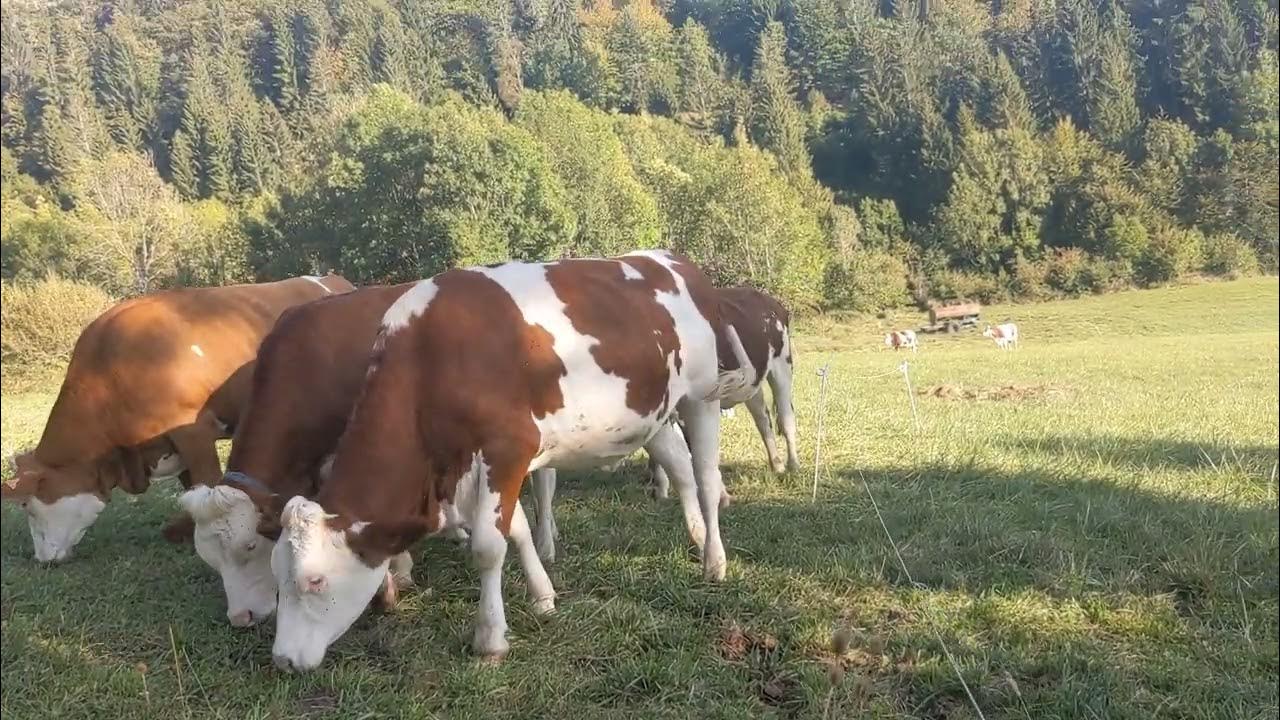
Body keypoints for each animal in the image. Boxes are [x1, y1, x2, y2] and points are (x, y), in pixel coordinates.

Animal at [265, 251, 749, 671]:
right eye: (276, 575)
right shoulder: (486, 466)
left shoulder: (507, 449)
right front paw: (543, 596)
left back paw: (714, 561)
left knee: (707, 478)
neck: (433, 356)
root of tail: (670, 259)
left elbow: (487, 546)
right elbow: (516, 530)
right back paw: (696, 536)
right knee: (681, 468)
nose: (282, 660)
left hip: (702, 398)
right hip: (658, 414)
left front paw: (491, 638)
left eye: (314, 581)